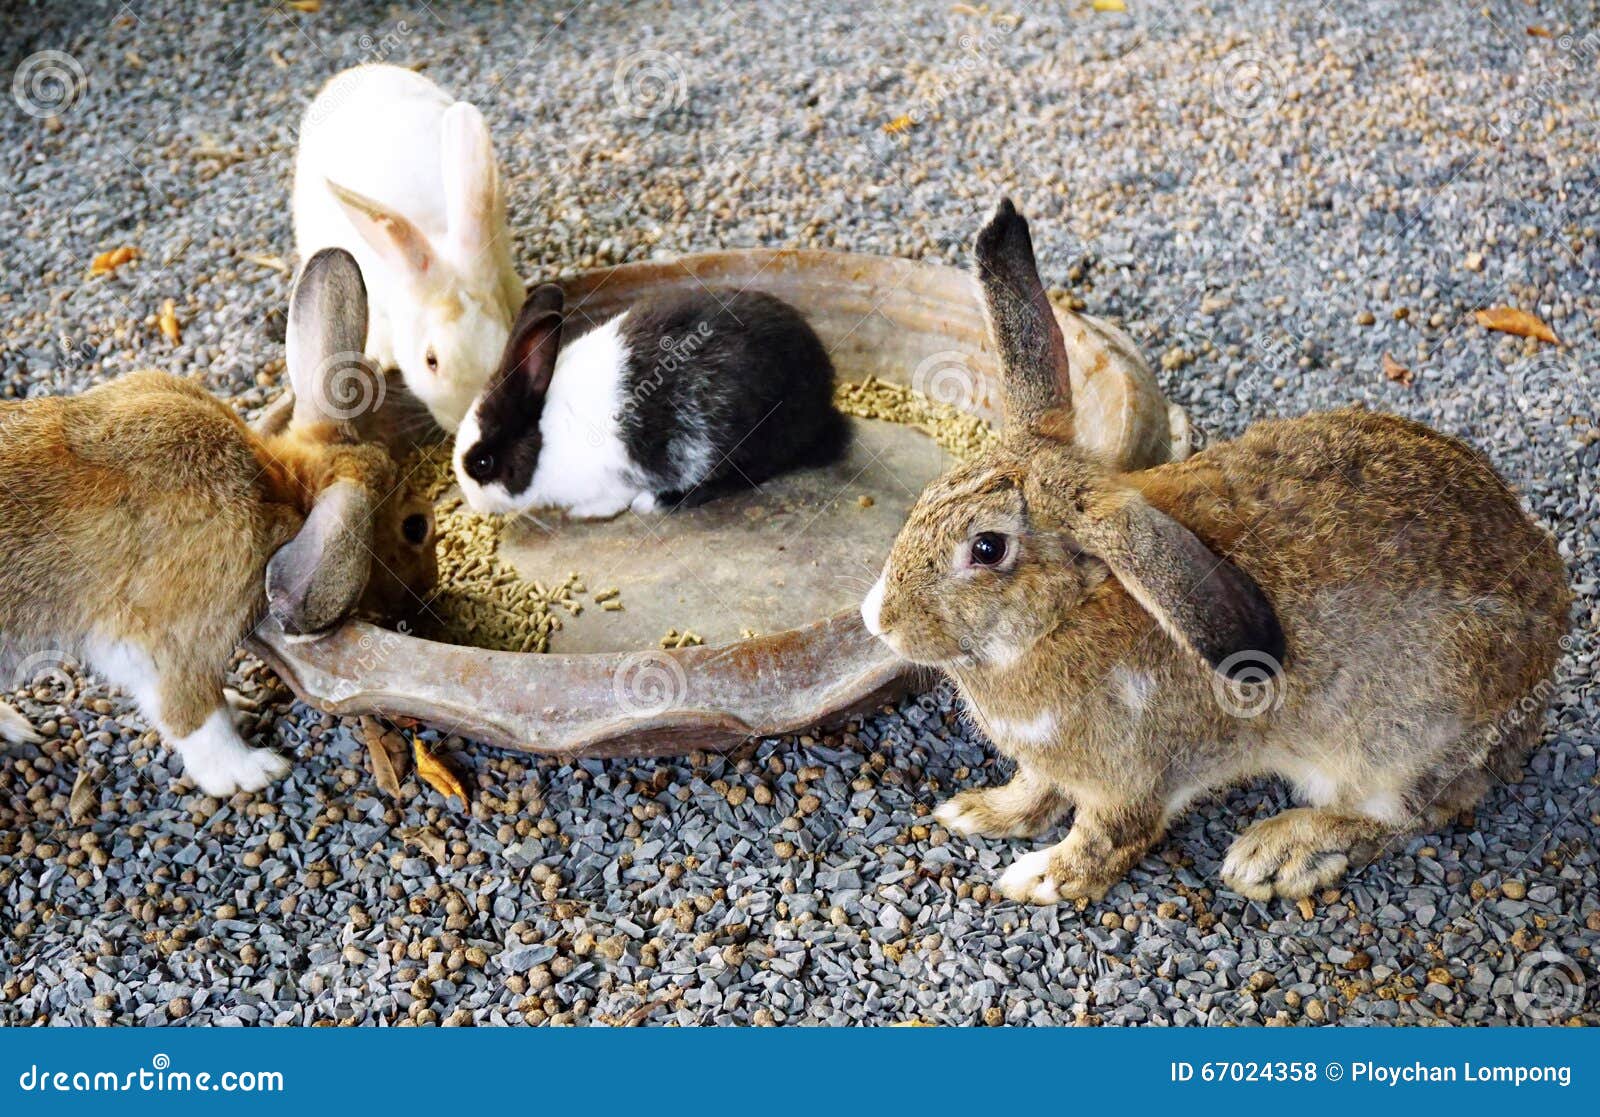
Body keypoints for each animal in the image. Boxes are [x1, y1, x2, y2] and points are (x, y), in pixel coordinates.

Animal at [0, 248, 438, 796]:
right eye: (416, 526)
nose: (429, 591)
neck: (278, 487)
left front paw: (239, 706)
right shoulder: (169, 642)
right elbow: (194, 716)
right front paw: (252, 770)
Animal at [452, 284, 850, 519]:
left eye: (483, 463)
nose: (476, 505)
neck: (543, 438)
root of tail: (821, 394)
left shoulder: (610, 481)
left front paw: (582, 514)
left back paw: (655, 502)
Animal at [861, 198, 1569, 904]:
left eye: (987, 548)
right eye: (930, 494)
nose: (878, 619)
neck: (1067, 614)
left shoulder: (1135, 779)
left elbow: (1108, 837)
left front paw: (1041, 877)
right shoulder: (1052, 765)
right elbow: (1036, 789)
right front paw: (980, 811)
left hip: (1392, 749)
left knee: (1406, 815)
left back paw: (1277, 854)